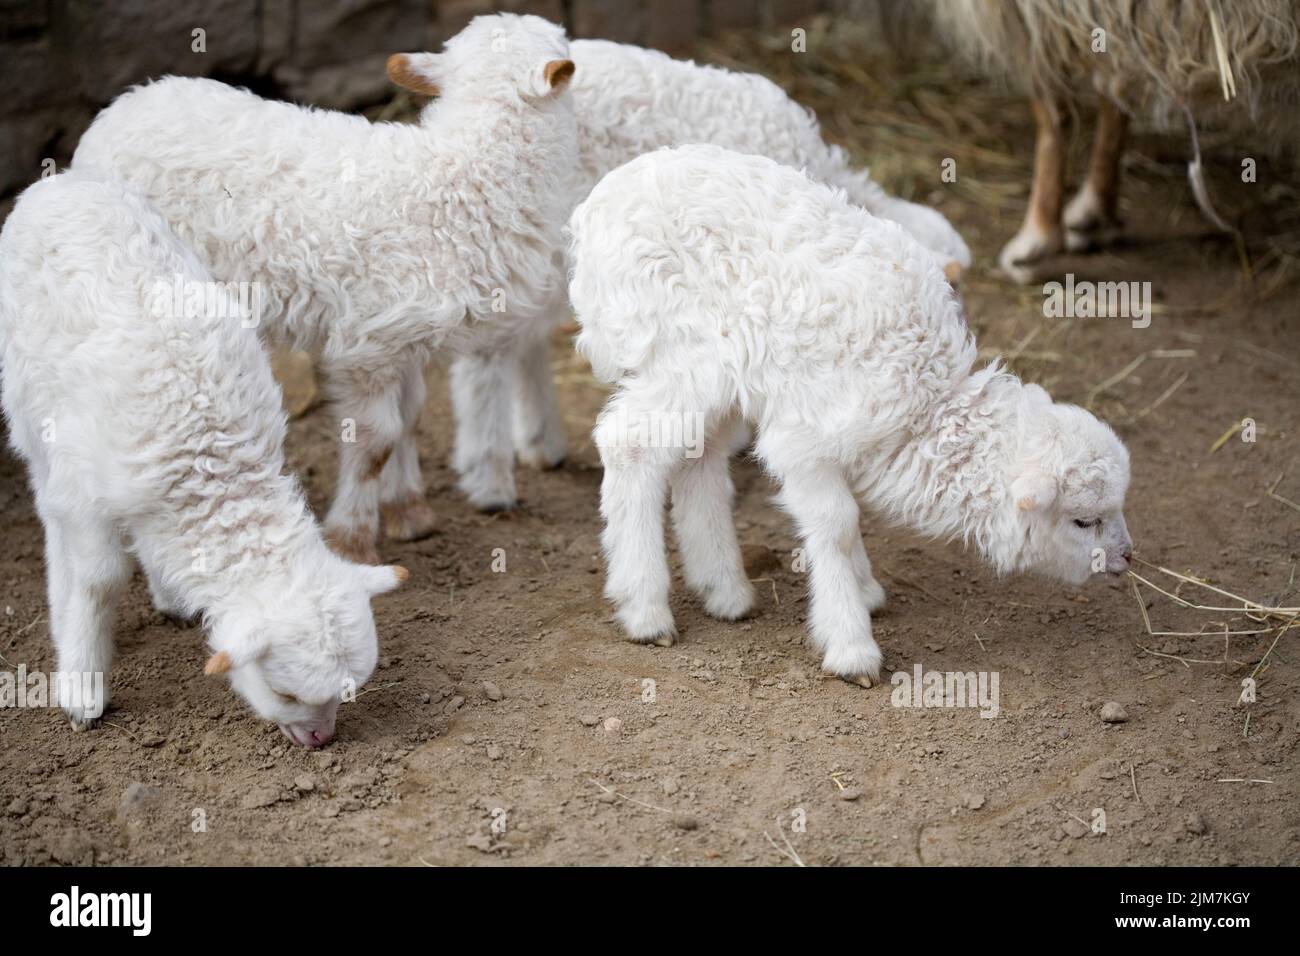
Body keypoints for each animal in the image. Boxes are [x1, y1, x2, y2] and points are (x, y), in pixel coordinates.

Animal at [0, 171, 406, 744]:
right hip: (27, 401)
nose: (322, 739)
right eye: (285, 693)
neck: (209, 461)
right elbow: (97, 581)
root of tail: (58, 182)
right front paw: (82, 688)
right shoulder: (85, 497)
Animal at [71, 13, 578, 564]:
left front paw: (409, 514)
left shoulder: (404, 333)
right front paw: (351, 538)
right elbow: (377, 439)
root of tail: (123, 105)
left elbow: (409, 418)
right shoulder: (368, 342)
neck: (457, 178)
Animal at [569, 145, 1133, 685]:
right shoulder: (803, 441)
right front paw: (851, 646)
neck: (926, 400)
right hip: (680, 350)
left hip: (724, 377)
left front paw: (864, 591)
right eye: (1083, 521)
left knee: (698, 455)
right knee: (629, 442)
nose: (1127, 558)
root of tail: (595, 210)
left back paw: (724, 591)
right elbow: (838, 524)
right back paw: (645, 611)